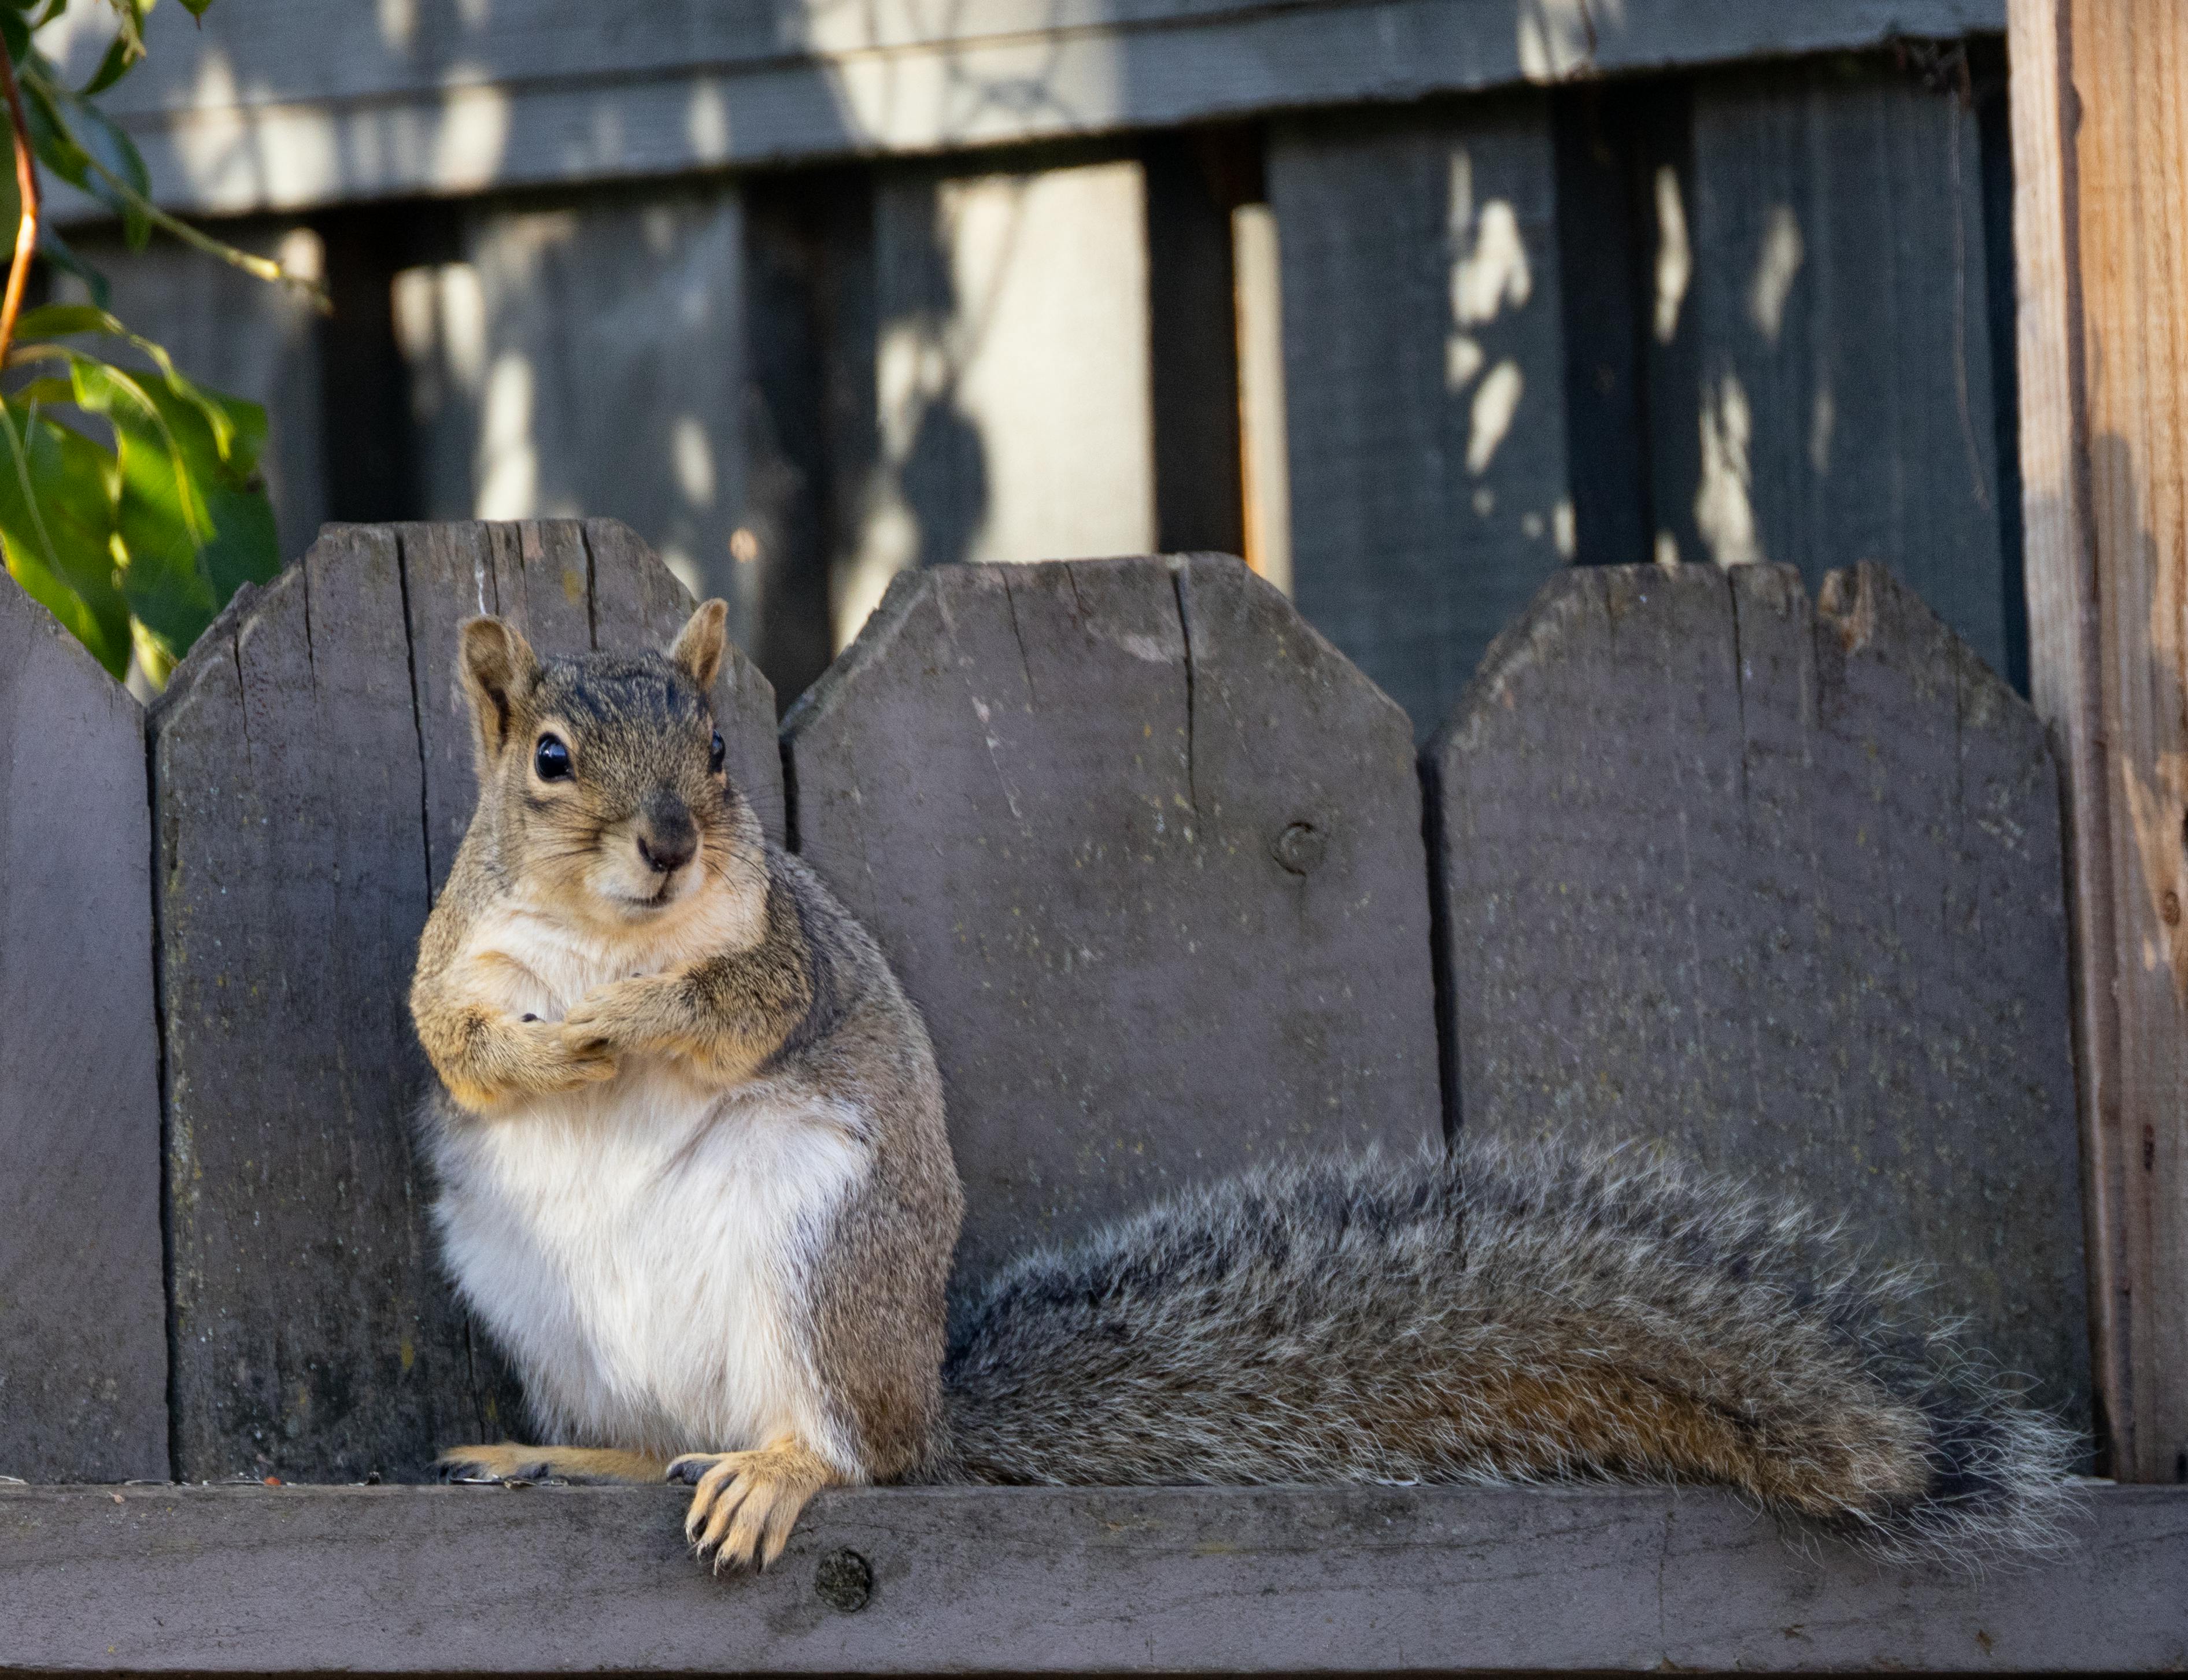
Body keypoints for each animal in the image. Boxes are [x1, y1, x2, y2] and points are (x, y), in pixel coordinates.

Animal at [411, 601, 2074, 1573]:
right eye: (548, 755)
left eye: (716, 750)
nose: (672, 842)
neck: (607, 932)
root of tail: (928, 1398)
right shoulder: (446, 962)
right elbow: (455, 1041)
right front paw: (554, 1043)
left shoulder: (787, 958)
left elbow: (735, 1005)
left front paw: (639, 1015)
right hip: (535, 1293)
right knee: (647, 1441)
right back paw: (563, 1451)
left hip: (821, 1259)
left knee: (857, 1456)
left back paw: (774, 1472)